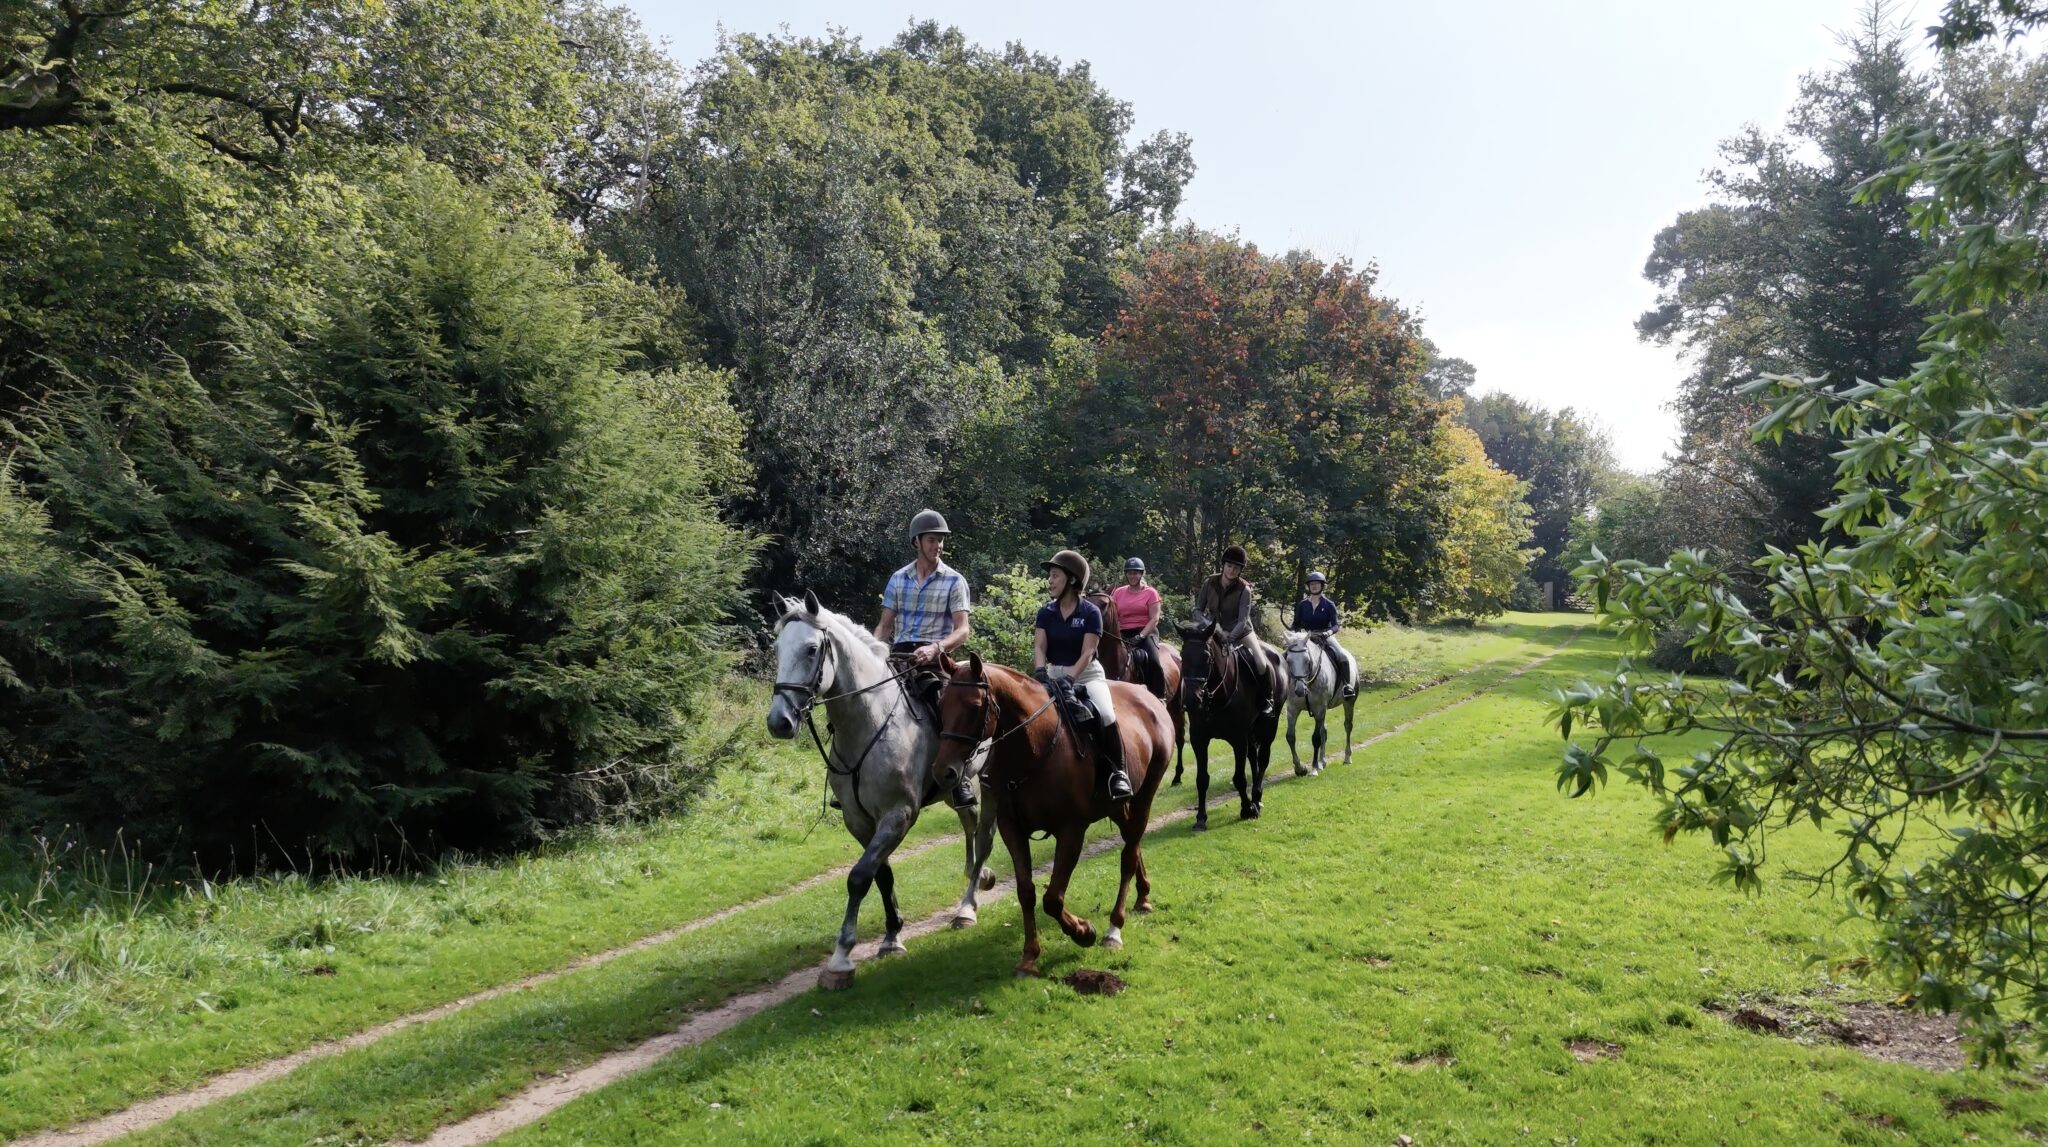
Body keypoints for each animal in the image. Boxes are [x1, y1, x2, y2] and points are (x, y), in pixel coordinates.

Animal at [764, 592, 998, 990]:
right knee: (968, 822)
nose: (779, 722)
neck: (870, 723)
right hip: (954, 785)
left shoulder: (897, 815)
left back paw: (967, 906)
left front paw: (842, 957)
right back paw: (975, 875)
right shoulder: (860, 821)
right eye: (778, 648)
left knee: (982, 835)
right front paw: (891, 936)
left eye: (811, 650)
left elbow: (859, 877)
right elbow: (880, 874)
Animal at [932, 649, 1174, 977]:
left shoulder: (1071, 831)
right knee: (1132, 845)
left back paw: (1113, 930)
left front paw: (1084, 932)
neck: (1034, 746)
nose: (942, 772)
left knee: (1128, 855)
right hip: (1118, 806)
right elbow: (1026, 892)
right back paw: (1143, 897)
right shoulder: (1012, 830)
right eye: (942, 705)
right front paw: (1029, 957)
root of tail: (1149, 697)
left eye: (974, 706)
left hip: (1145, 796)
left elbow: (1053, 899)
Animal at [1175, 617, 1286, 829]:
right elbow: (1202, 779)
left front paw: (1246, 810)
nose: (1192, 701)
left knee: (1263, 758)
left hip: (1269, 725)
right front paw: (1200, 818)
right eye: (1182, 656)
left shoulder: (1238, 739)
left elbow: (1239, 778)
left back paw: (1256, 798)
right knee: (1254, 759)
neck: (1217, 695)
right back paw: (1256, 800)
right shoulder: (1199, 739)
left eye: (1206, 657)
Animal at [1282, 631, 1357, 776]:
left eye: (1307, 661)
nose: (1300, 690)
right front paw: (1300, 768)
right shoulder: (1292, 709)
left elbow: (1316, 738)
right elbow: (1290, 737)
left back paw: (1347, 758)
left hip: (1348, 703)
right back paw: (1322, 761)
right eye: (1288, 660)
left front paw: (1314, 768)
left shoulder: (1319, 708)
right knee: (1324, 732)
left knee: (1348, 726)